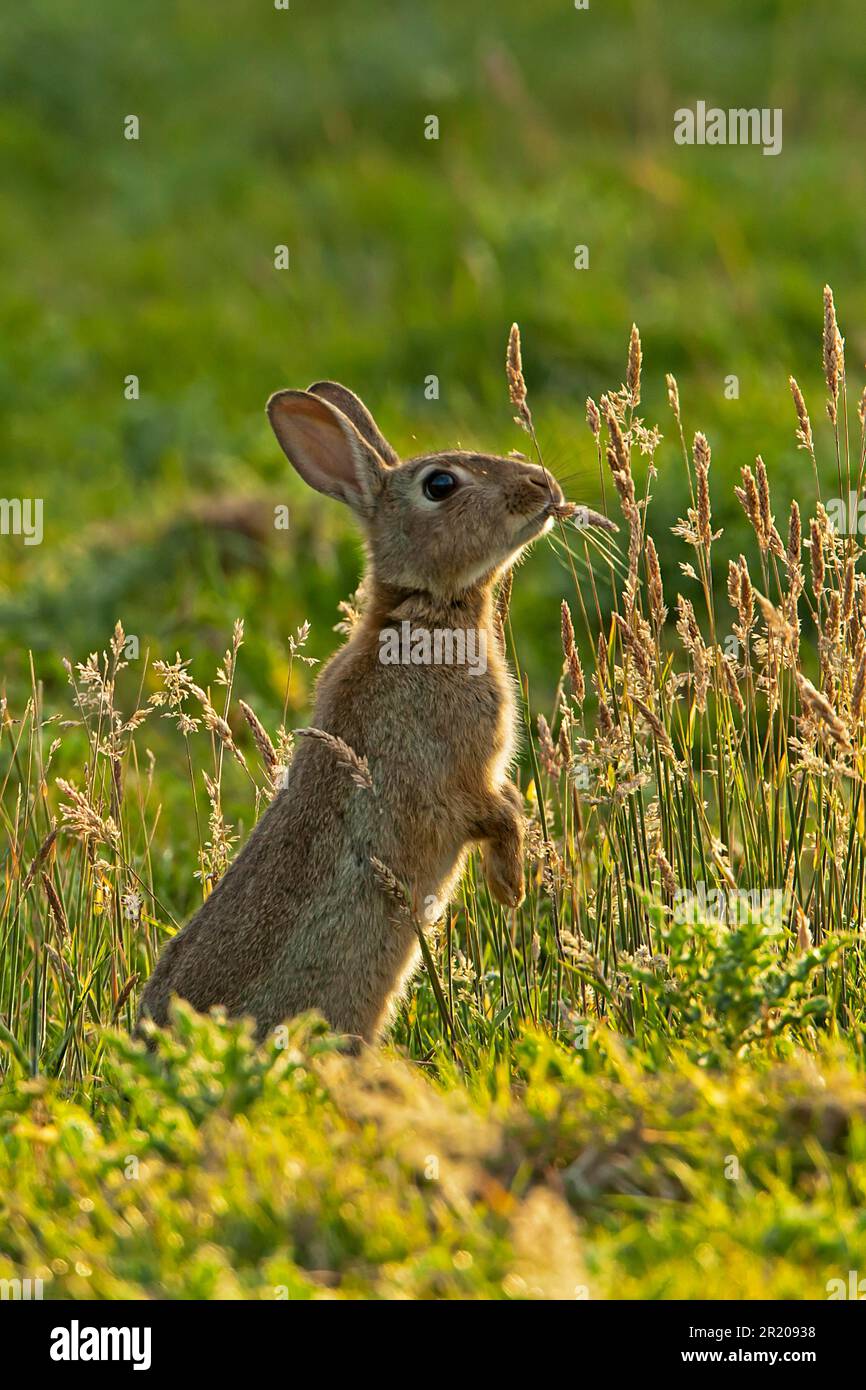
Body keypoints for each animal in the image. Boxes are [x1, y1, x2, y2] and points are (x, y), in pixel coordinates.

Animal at [137, 381, 571, 1049]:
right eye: (440, 485)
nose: (542, 484)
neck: (424, 611)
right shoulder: (456, 779)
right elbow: (501, 817)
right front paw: (510, 890)